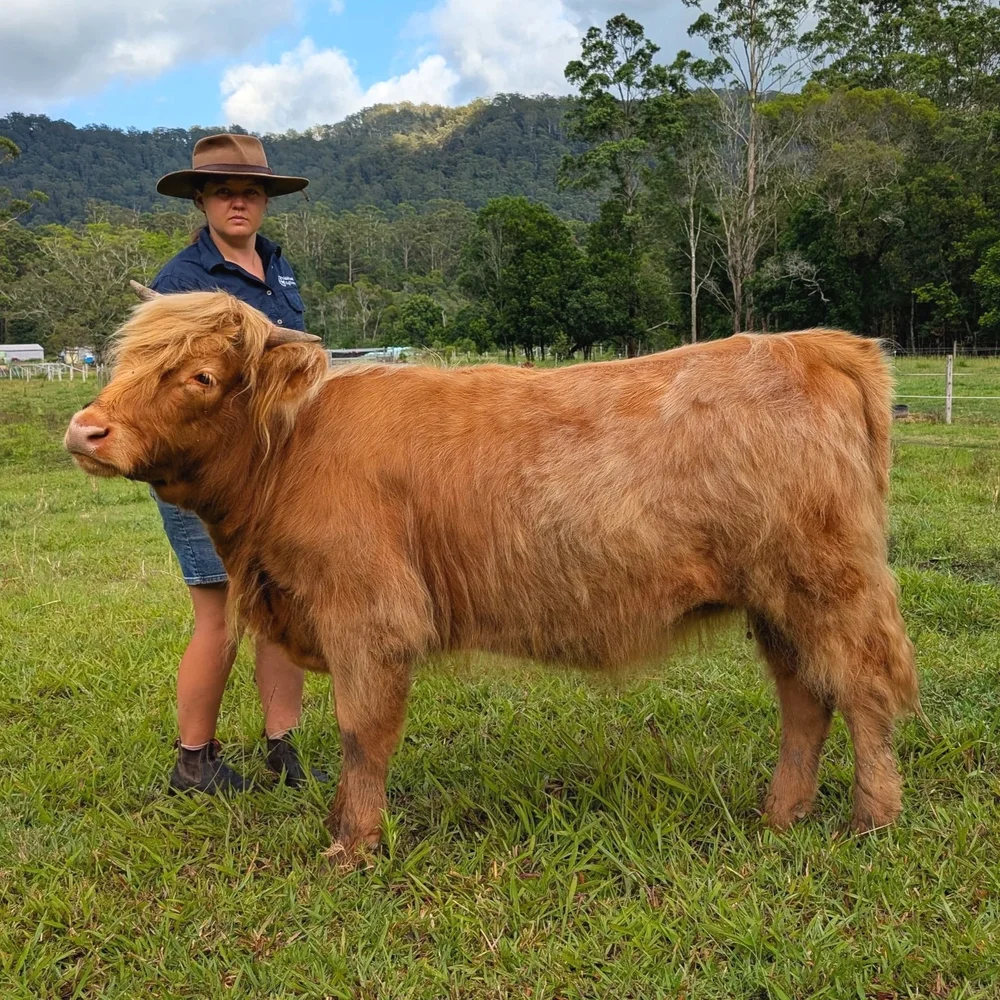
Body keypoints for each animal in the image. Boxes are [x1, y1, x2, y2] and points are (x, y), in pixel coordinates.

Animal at [64, 284, 919, 855]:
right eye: (126, 360)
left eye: (201, 376)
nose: (85, 430)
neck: (287, 456)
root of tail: (809, 342)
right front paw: (344, 828)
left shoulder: (368, 614)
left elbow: (361, 732)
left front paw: (353, 846)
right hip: (775, 599)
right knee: (806, 699)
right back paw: (781, 816)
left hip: (827, 584)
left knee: (863, 691)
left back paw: (870, 821)